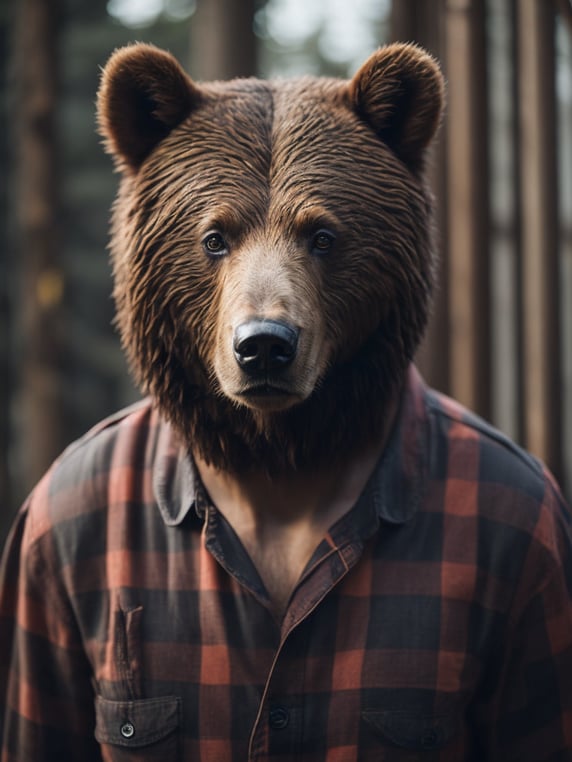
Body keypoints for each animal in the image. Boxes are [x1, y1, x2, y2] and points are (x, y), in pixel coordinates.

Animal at [1, 41, 572, 762]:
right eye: (214, 236)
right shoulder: (46, 541)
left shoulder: (533, 545)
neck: (279, 459)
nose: (265, 345)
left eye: (323, 234)